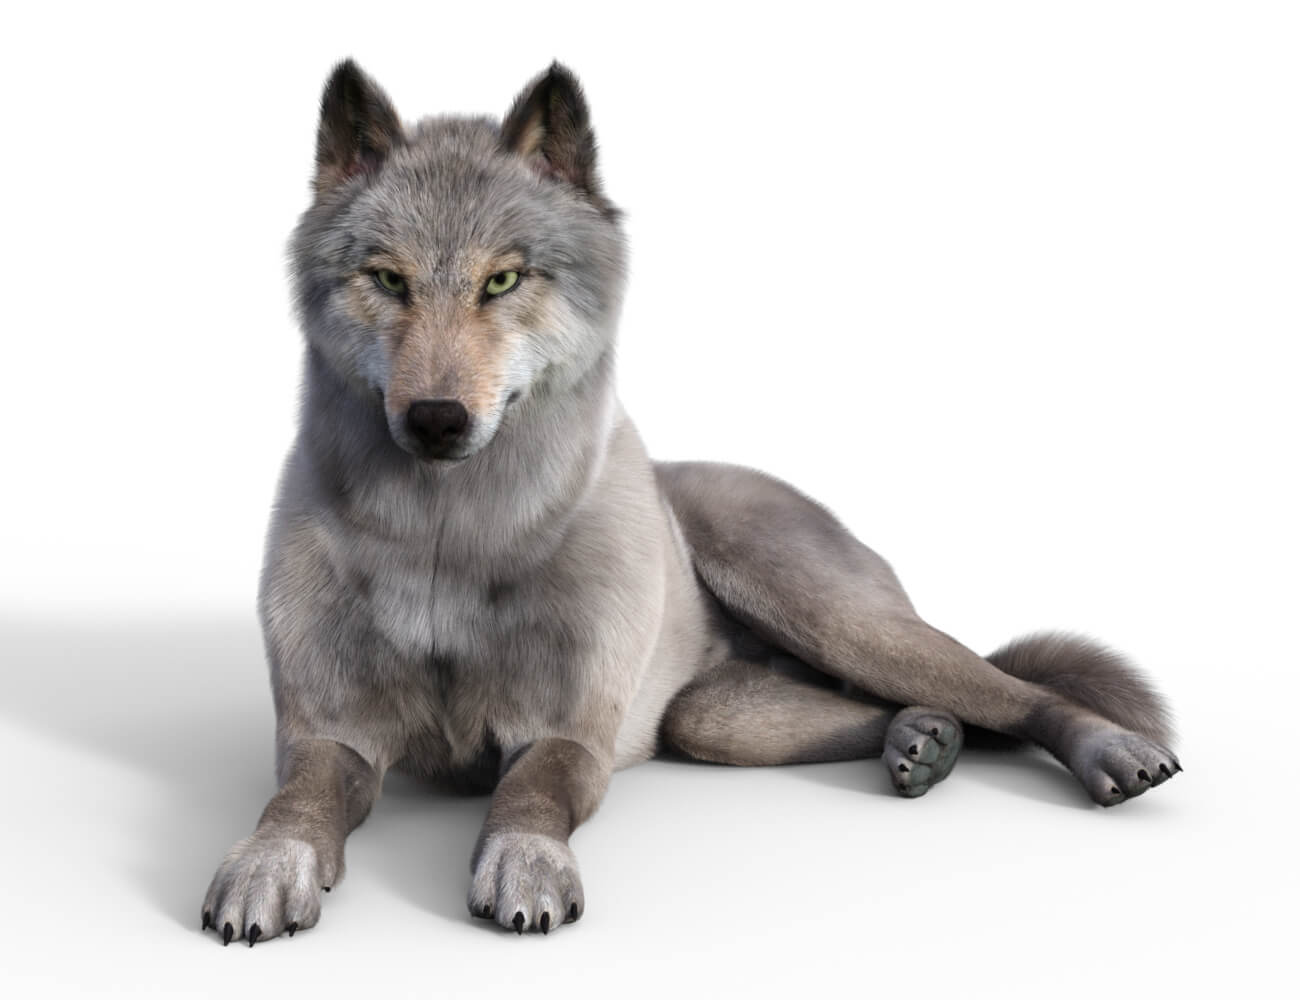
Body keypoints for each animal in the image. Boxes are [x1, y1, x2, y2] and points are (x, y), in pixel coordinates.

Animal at [201, 60, 1179, 945]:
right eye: (390, 280)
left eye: (502, 281)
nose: (437, 419)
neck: (452, 540)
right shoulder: (331, 736)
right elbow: (293, 800)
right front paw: (265, 866)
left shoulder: (567, 735)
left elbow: (530, 792)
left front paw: (526, 864)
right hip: (714, 720)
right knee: (907, 712)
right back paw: (922, 740)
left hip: (834, 621)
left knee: (1013, 691)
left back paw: (1106, 749)